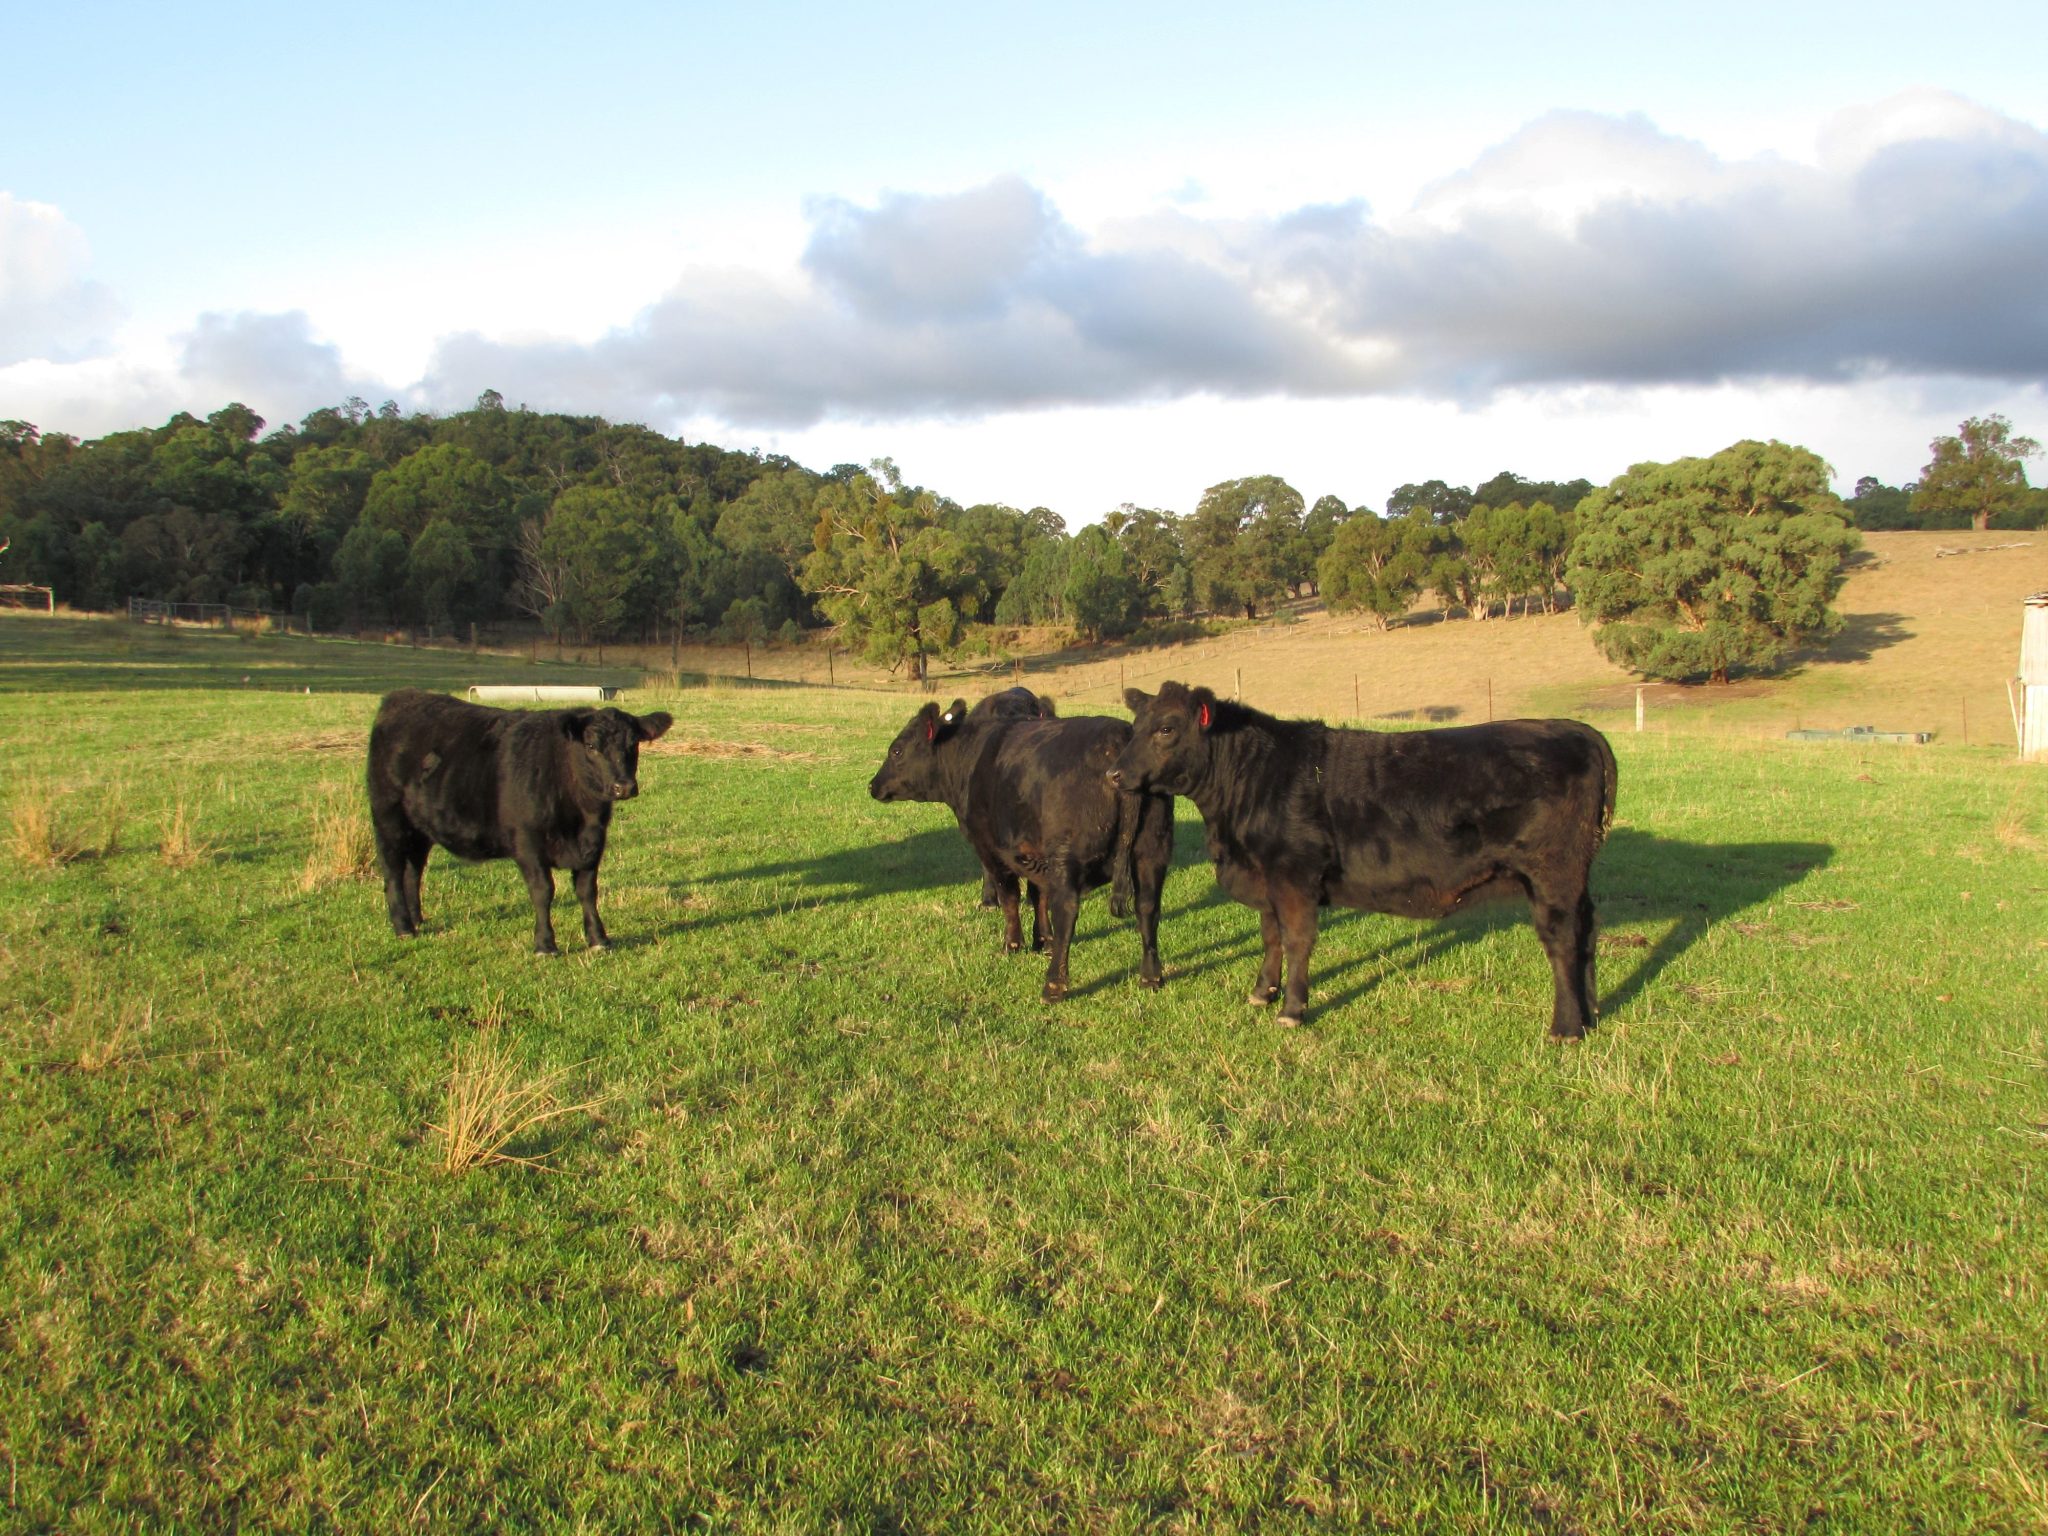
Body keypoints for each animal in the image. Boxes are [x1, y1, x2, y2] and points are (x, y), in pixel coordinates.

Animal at [367, 688, 673, 954]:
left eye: (633, 744)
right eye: (590, 745)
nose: (624, 786)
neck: (580, 816)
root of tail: (401, 697)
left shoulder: (593, 844)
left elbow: (587, 891)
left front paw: (598, 939)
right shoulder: (528, 844)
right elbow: (543, 891)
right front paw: (545, 945)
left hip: (420, 828)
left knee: (413, 870)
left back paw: (418, 920)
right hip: (388, 820)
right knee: (393, 872)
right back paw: (403, 927)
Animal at [869, 698, 1173, 1000]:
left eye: (897, 750)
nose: (872, 785)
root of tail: (1118, 740)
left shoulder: (992, 849)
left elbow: (1010, 897)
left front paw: (1013, 944)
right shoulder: (1033, 852)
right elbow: (1038, 895)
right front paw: (1043, 940)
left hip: (1068, 856)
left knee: (1066, 909)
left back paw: (1053, 985)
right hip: (1152, 851)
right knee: (1147, 907)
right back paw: (1151, 977)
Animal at [1111, 682, 1616, 1037]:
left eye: (1167, 728)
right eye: (1133, 728)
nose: (1115, 774)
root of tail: (1573, 728)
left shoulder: (1295, 874)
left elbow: (1296, 940)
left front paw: (1292, 1009)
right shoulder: (1266, 877)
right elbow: (1271, 937)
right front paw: (1262, 993)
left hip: (1552, 873)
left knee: (1562, 940)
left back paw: (1566, 1027)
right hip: (1575, 878)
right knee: (1587, 931)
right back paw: (1590, 1013)